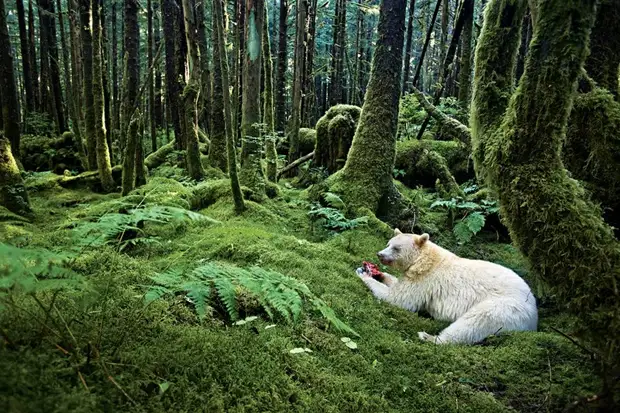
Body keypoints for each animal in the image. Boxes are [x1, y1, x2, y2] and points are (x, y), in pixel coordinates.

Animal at [358, 229, 536, 344]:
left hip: (505, 308)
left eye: (396, 248)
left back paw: (429, 337)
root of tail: (534, 318)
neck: (424, 259)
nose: (380, 254)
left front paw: (363, 274)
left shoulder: (426, 279)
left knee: (474, 323)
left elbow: (400, 299)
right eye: (388, 243)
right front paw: (378, 273)